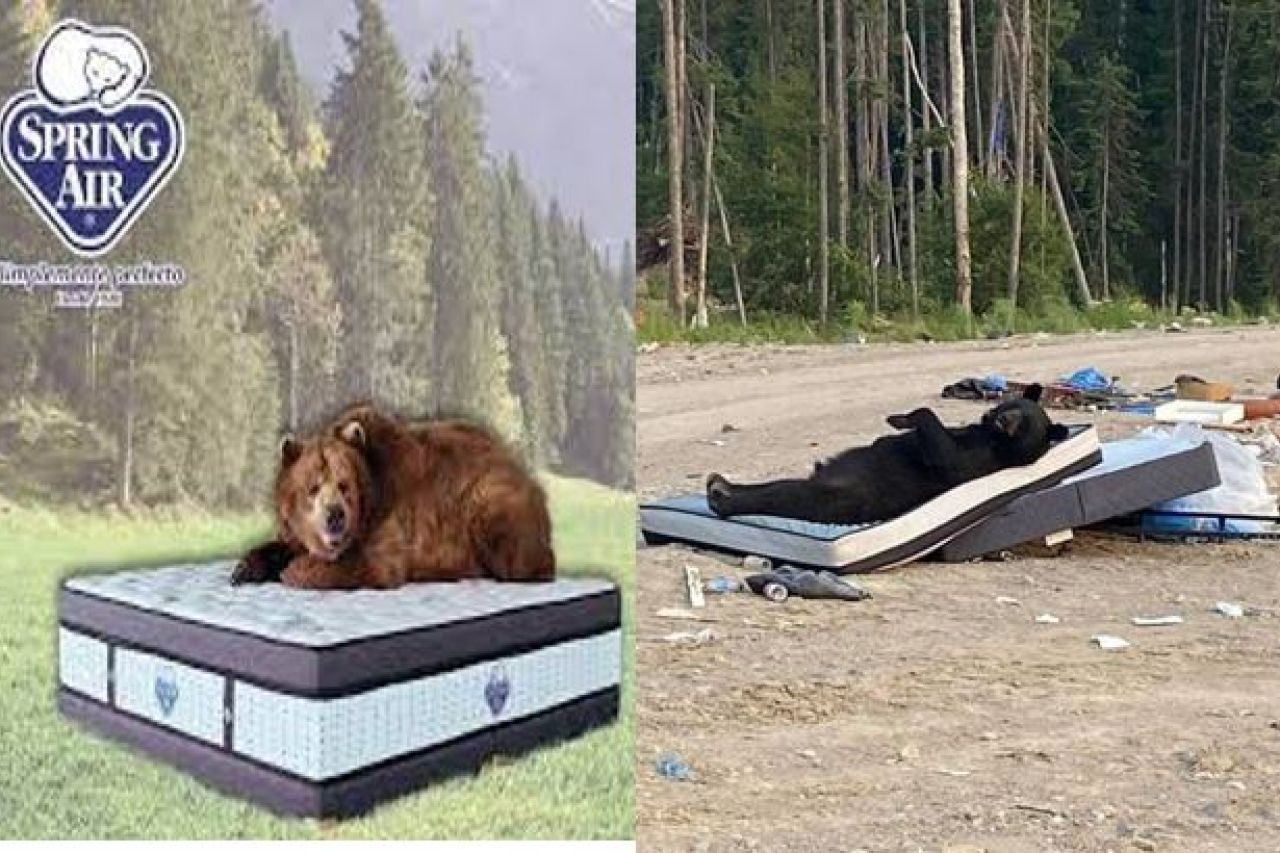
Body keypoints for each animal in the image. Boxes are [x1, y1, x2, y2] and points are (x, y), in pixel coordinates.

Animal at [232, 404, 555, 589]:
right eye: (313, 487)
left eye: (344, 485)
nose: (335, 515)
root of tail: (517, 462)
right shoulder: (297, 530)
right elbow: (283, 544)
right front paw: (244, 569)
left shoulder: (392, 513)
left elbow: (373, 564)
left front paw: (295, 571)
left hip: (488, 494)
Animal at [705, 385, 1069, 525]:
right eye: (1014, 406)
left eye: (1024, 424)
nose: (1002, 419)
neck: (996, 442)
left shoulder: (972, 462)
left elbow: (944, 452)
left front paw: (899, 420)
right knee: (778, 485)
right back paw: (721, 483)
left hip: (839, 494)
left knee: (787, 495)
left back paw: (722, 497)